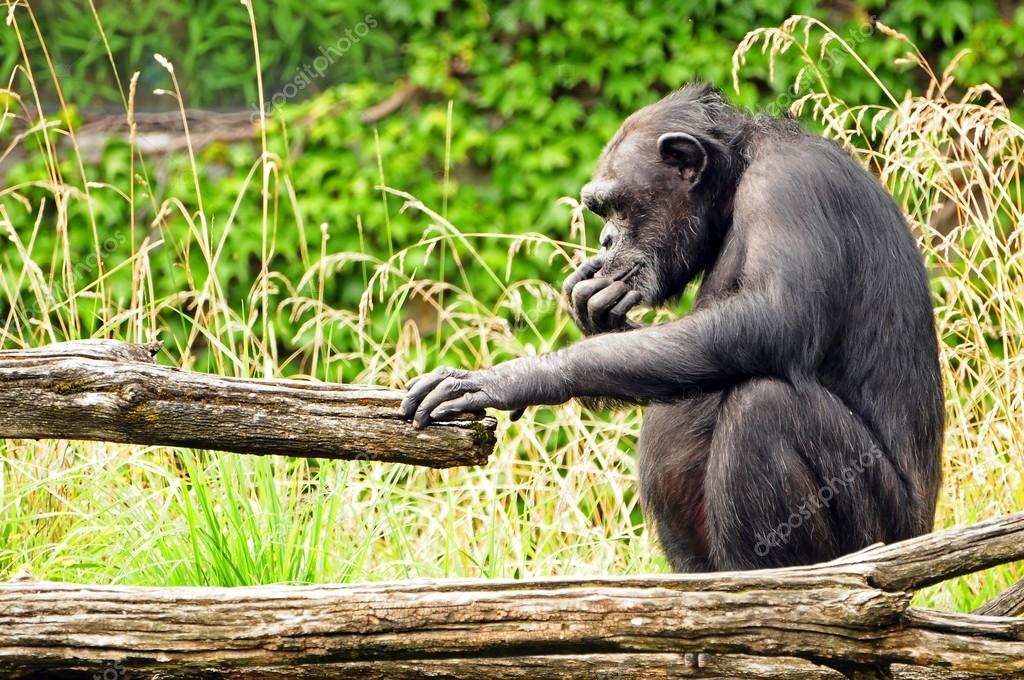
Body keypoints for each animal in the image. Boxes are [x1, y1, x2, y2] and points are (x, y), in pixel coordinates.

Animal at [399, 83, 944, 572]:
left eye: (615, 204)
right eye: (601, 210)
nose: (606, 238)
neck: (737, 179)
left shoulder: (790, 185)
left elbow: (777, 317)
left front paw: (519, 376)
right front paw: (593, 303)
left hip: (880, 528)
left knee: (764, 405)